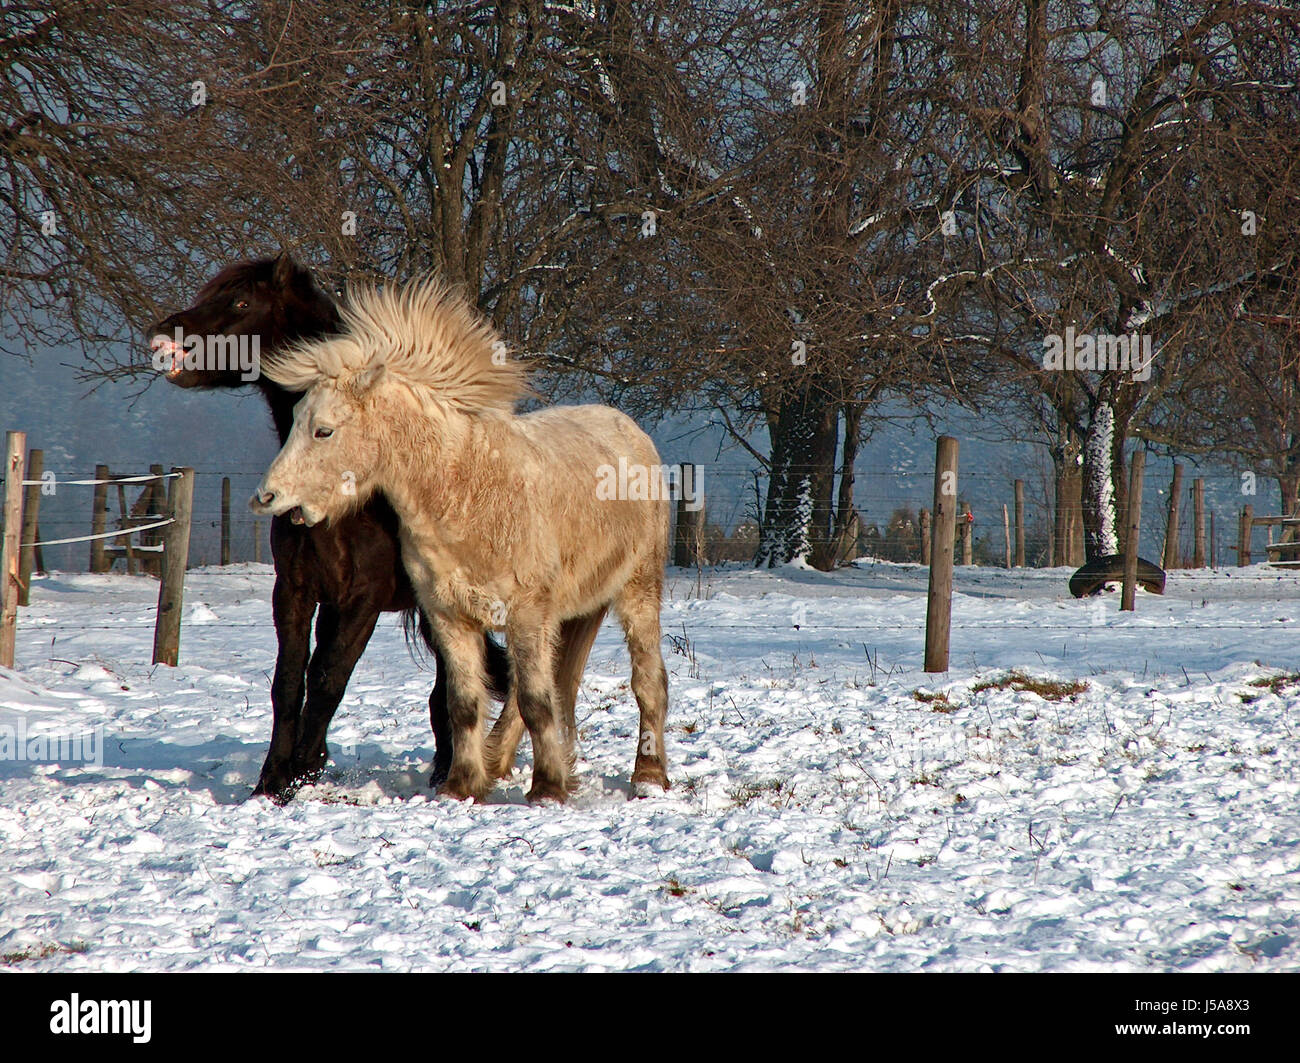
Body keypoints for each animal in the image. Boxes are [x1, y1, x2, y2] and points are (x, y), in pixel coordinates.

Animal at [150, 254, 603, 800]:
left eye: (240, 302)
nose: (160, 338)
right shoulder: (297, 590)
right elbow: (290, 682)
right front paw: (273, 779)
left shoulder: (364, 598)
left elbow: (329, 678)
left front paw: (300, 773)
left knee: (444, 689)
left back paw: (446, 771)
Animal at [250, 277, 671, 804]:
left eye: (323, 430)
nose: (268, 496)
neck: (466, 490)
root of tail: (632, 432)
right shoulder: (449, 616)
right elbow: (466, 703)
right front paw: (463, 785)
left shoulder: (526, 614)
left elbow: (536, 701)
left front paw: (547, 788)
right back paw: (501, 762)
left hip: (638, 592)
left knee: (647, 682)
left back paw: (649, 776)